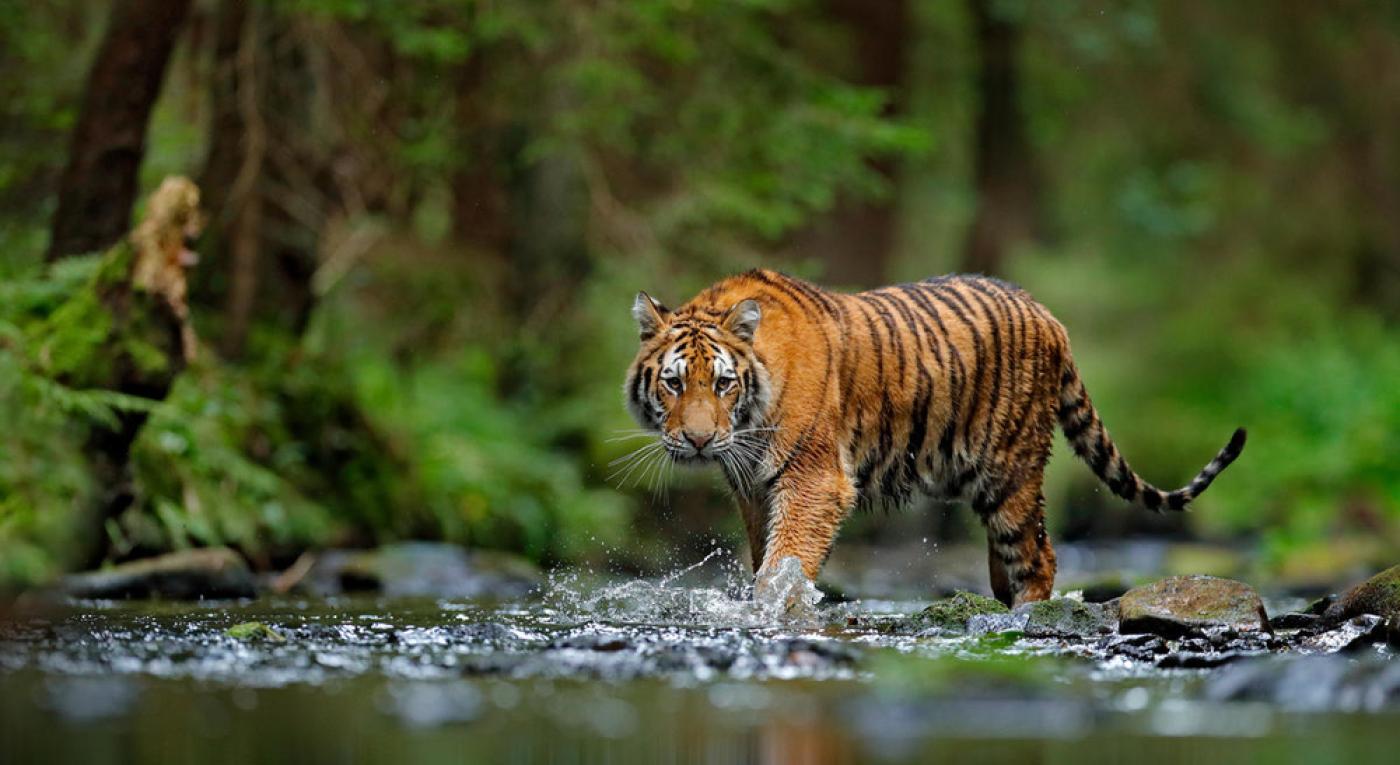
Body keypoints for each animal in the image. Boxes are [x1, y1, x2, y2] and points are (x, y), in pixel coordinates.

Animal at [623, 269, 1246, 606]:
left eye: (723, 383)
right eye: (674, 383)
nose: (699, 441)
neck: (749, 421)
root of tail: (1048, 315)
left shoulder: (813, 480)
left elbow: (786, 561)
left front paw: (774, 609)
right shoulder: (754, 488)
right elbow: (765, 558)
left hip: (1011, 472)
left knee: (1038, 555)